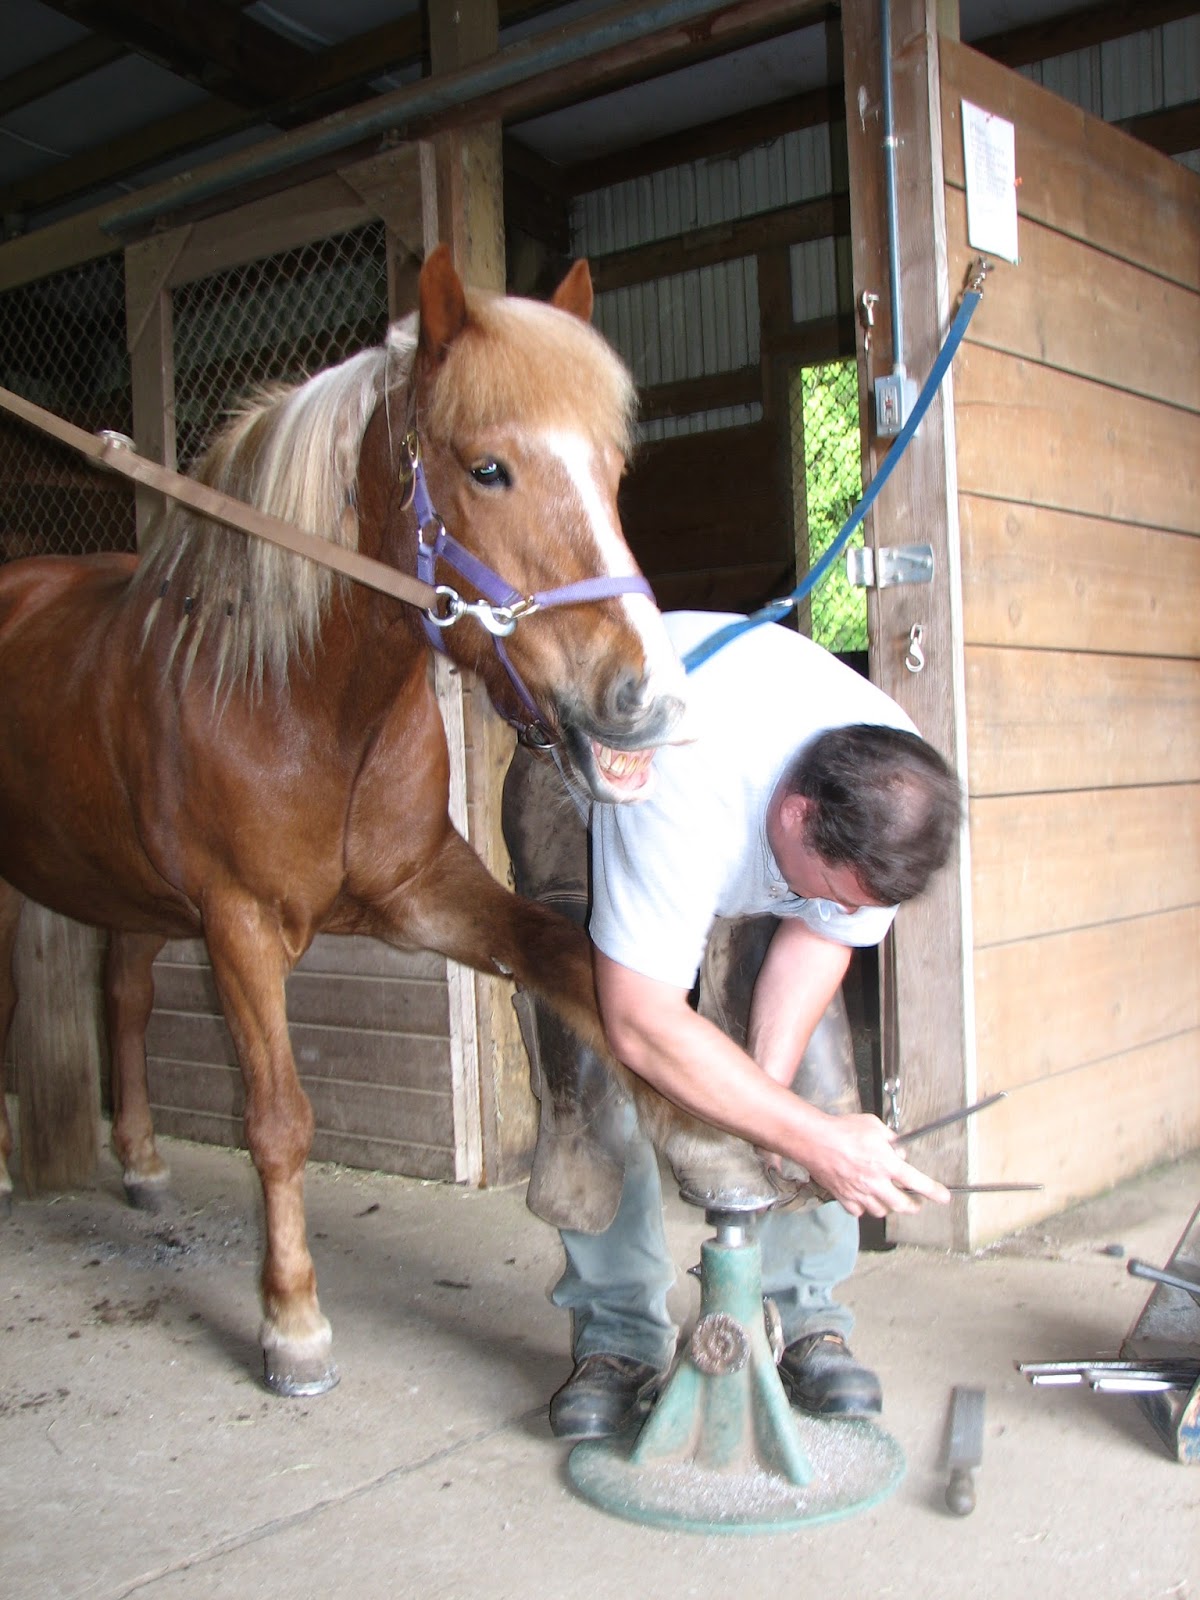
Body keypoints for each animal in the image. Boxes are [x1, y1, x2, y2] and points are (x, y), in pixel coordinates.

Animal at [0, 245, 752, 1397]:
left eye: (614, 472)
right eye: (487, 469)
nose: (650, 702)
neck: (300, 701)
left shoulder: (427, 891)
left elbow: (572, 967)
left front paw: (710, 1133)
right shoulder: (239, 925)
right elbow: (278, 1121)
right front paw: (292, 1321)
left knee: (123, 994)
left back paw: (141, 1162)